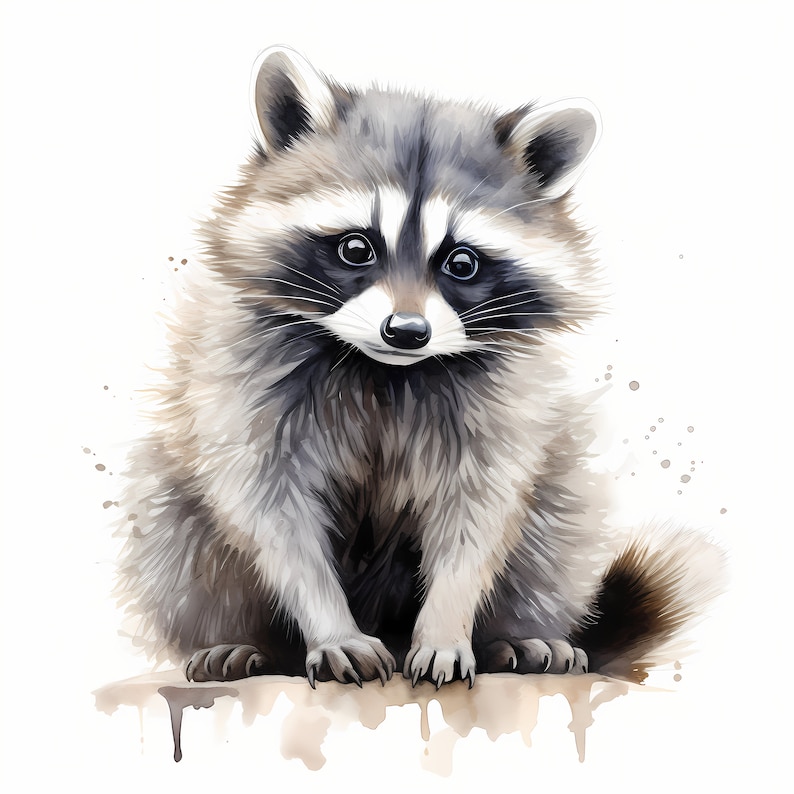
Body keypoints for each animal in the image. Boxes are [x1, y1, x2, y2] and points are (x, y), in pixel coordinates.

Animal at [116, 47, 722, 688]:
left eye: (462, 262)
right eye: (356, 248)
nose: (406, 331)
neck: (385, 369)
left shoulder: (499, 407)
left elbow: (478, 519)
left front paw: (447, 628)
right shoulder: (245, 380)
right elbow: (272, 512)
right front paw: (331, 626)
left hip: (560, 492)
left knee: (556, 524)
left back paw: (516, 633)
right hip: (172, 509)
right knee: (176, 534)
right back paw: (240, 640)